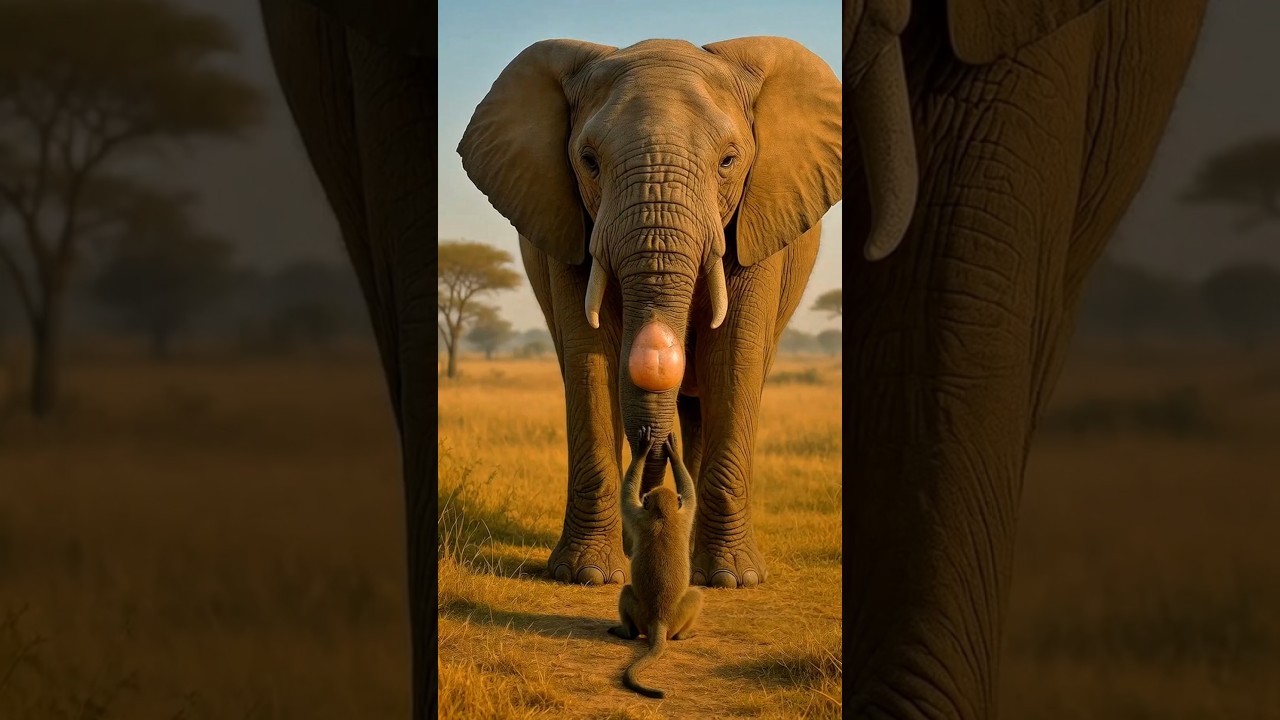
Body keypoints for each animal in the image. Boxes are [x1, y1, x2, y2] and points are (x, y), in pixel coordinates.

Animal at [456, 37, 852, 592]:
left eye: (729, 160)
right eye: (589, 161)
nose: (655, 443)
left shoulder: (759, 220)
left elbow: (735, 359)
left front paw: (732, 580)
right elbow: (590, 362)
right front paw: (588, 574)